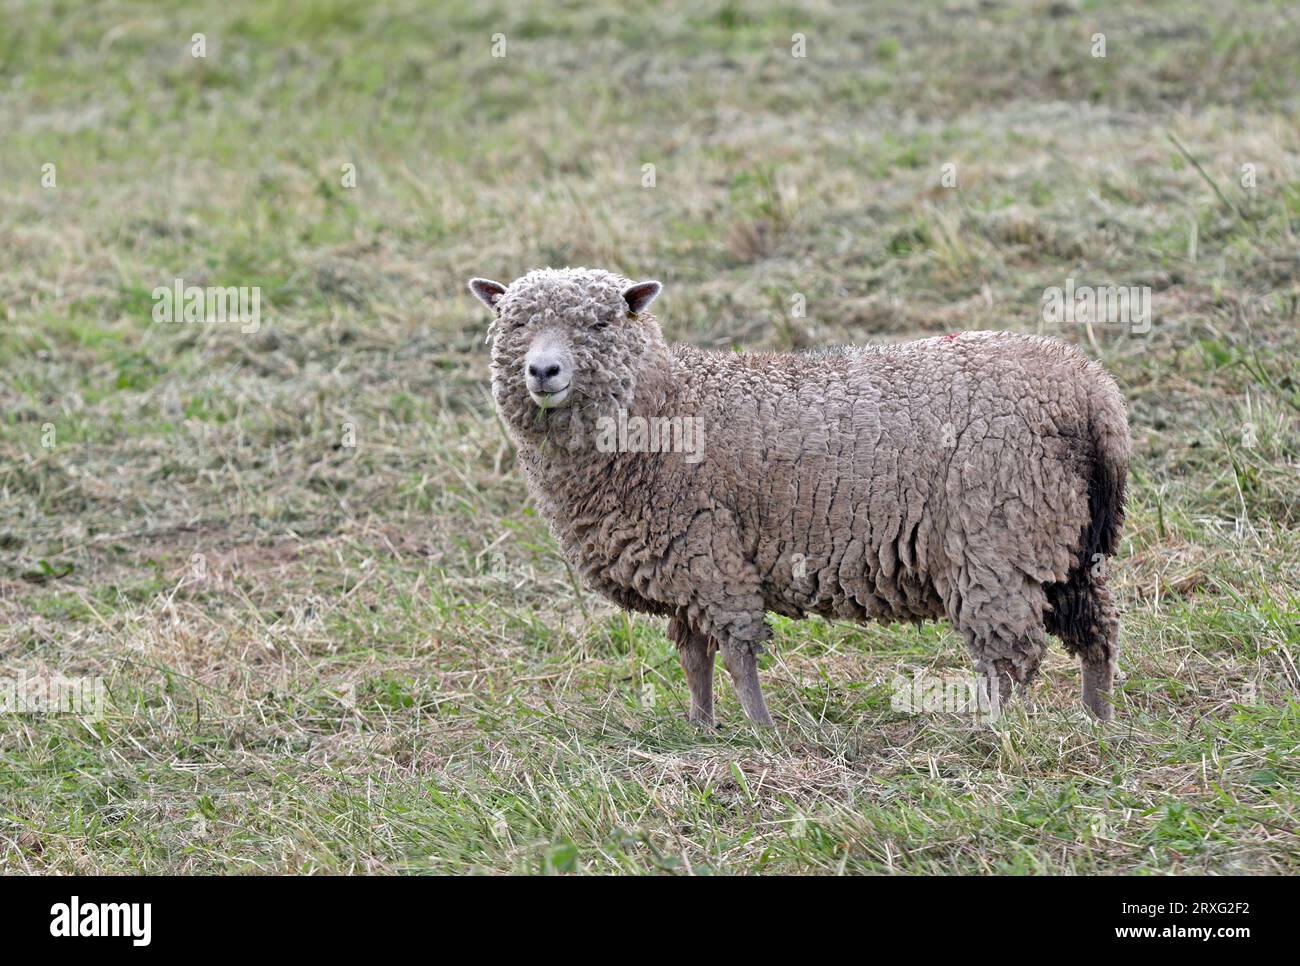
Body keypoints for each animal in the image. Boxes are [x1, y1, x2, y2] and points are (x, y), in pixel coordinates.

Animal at [469, 267, 1130, 726]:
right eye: (515, 324)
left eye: (600, 324)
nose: (543, 372)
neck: (668, 398)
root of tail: (1089, 389)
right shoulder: (678, 564)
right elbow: (694, 656)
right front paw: (699, 726)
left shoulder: (708, 552)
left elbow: (735, 651)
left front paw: (759, 730)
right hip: (1067, 539)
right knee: (1096, 630)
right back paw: (1097, 720)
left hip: (996, 536)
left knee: (1010, 654)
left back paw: (998, 727)